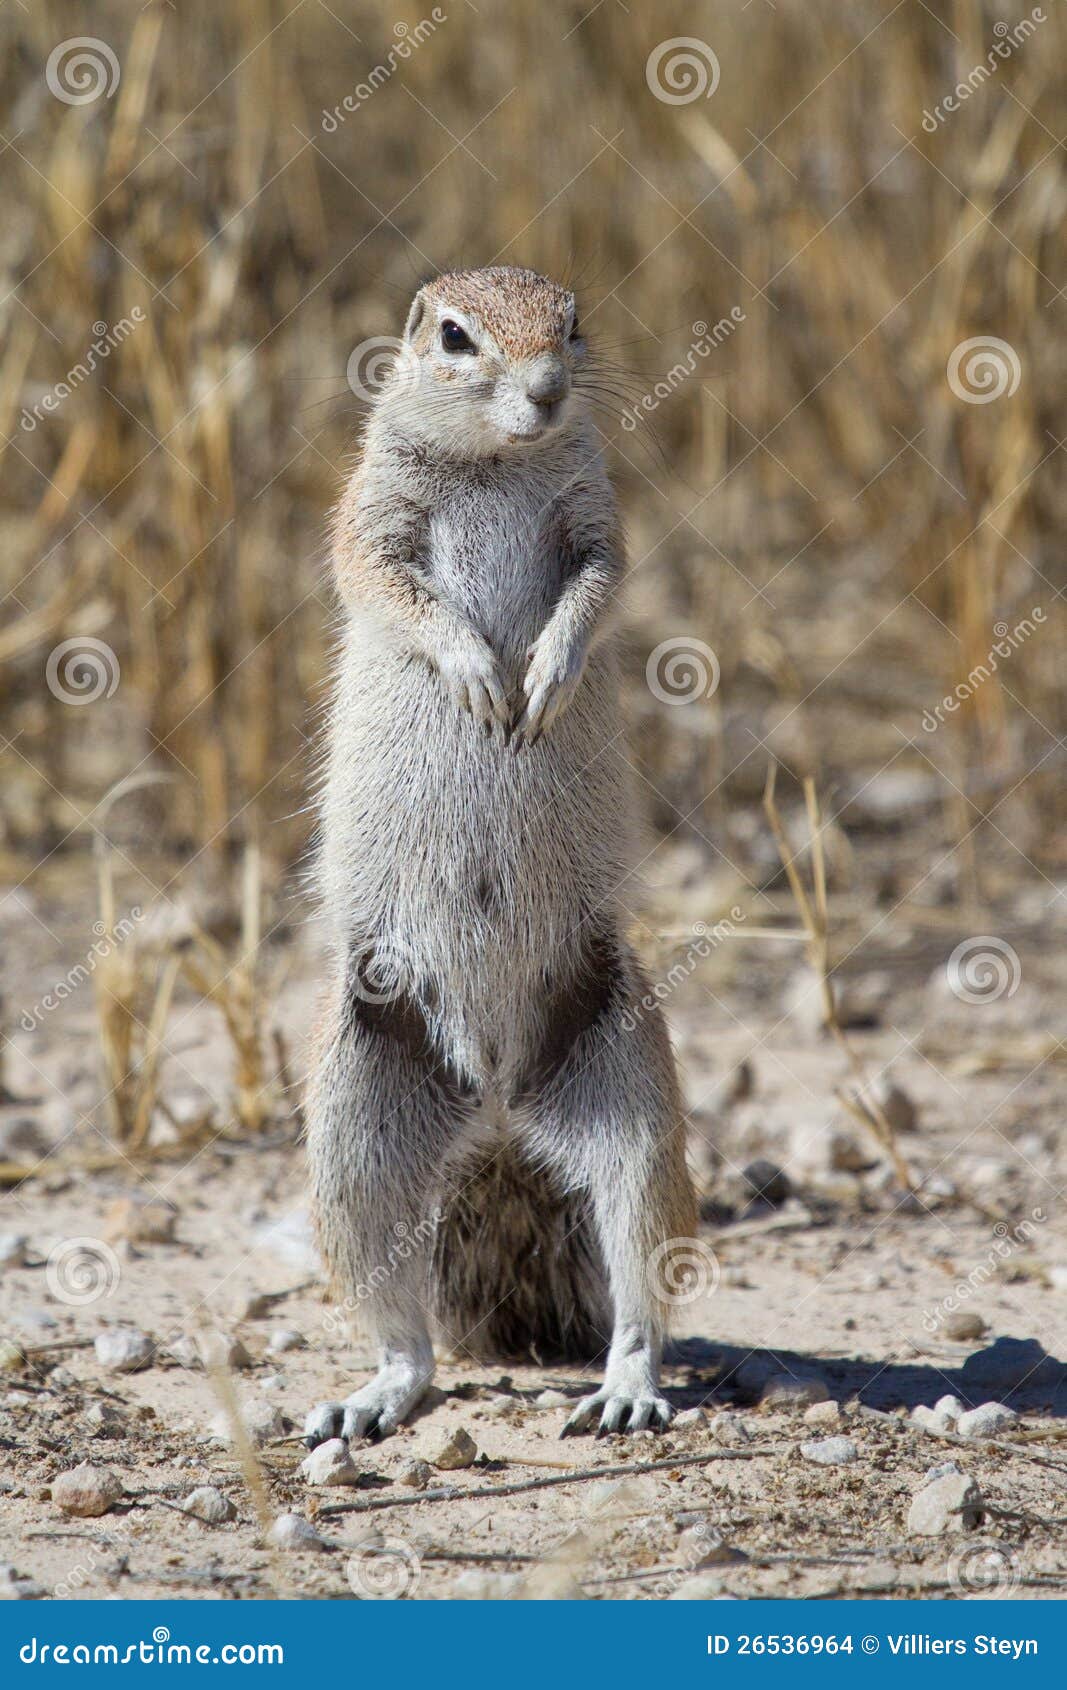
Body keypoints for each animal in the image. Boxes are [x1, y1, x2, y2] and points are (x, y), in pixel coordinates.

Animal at [304, 265, 696, 1447]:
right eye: (452, 336)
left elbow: (602, 580)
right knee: (402, 1324)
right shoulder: (372, 515)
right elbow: (388, 583)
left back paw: (625, 1386)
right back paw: (377, 1394)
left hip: (630, 1090)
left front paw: (549, 670)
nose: (548, 392)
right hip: (352, 1124)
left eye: (573, 323)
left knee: (638, 1267)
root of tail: (496, 1108)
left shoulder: (599, 515)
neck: (498, 460)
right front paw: (477, 670)